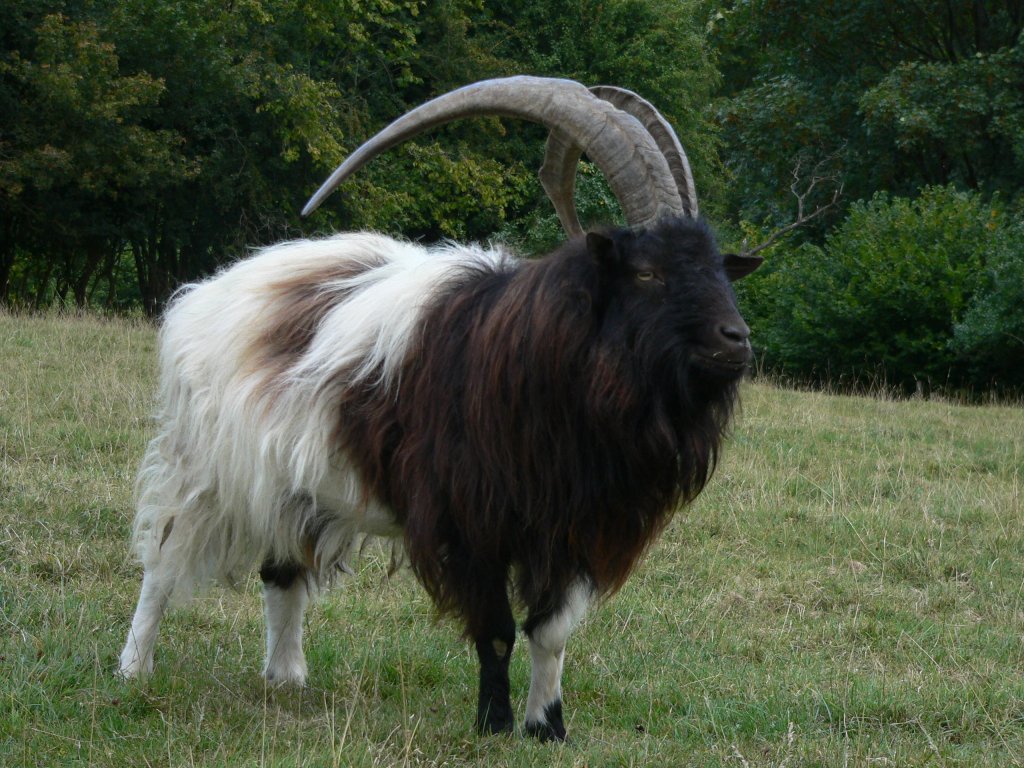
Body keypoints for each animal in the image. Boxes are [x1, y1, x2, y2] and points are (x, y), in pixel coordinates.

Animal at [118, 76, 762, 741]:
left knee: (282, 569)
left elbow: (551, 633)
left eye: (720, 269)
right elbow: (498, 631)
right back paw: (135, 669)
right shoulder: (468, 519)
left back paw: (287, 677)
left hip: (291, 481)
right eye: (646, 272)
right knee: (162, 560)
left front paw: (547, 726)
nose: (736, 339)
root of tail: (213, 289)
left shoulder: (571, 527)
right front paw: (494, 725)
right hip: (203, 466)